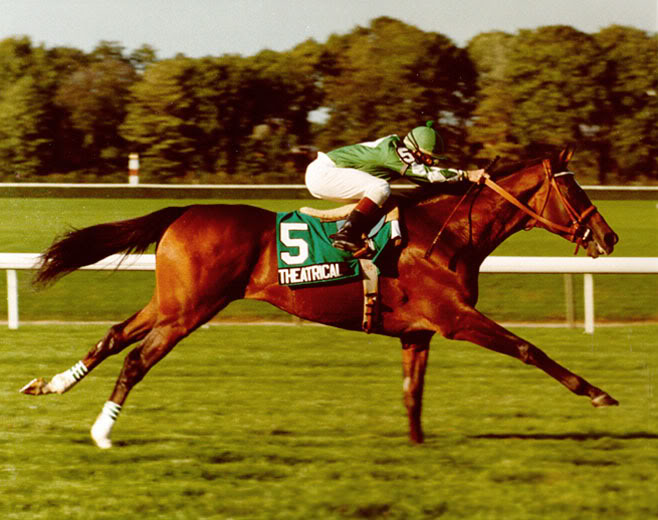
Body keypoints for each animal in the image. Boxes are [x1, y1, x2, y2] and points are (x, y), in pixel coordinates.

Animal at [21, 147, 620, 448]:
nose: (609, 238)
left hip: (172, 302)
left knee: (114, 336)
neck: (448, 232)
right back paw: (102, 432)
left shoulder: (417, 332)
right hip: (190, 309)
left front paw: (417, 446)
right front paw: (596, 393)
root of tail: (184, 211)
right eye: (573, 188)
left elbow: (412, 394)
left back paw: (50, 385)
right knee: (137, 359)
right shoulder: (455, 317)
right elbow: (529, 349)